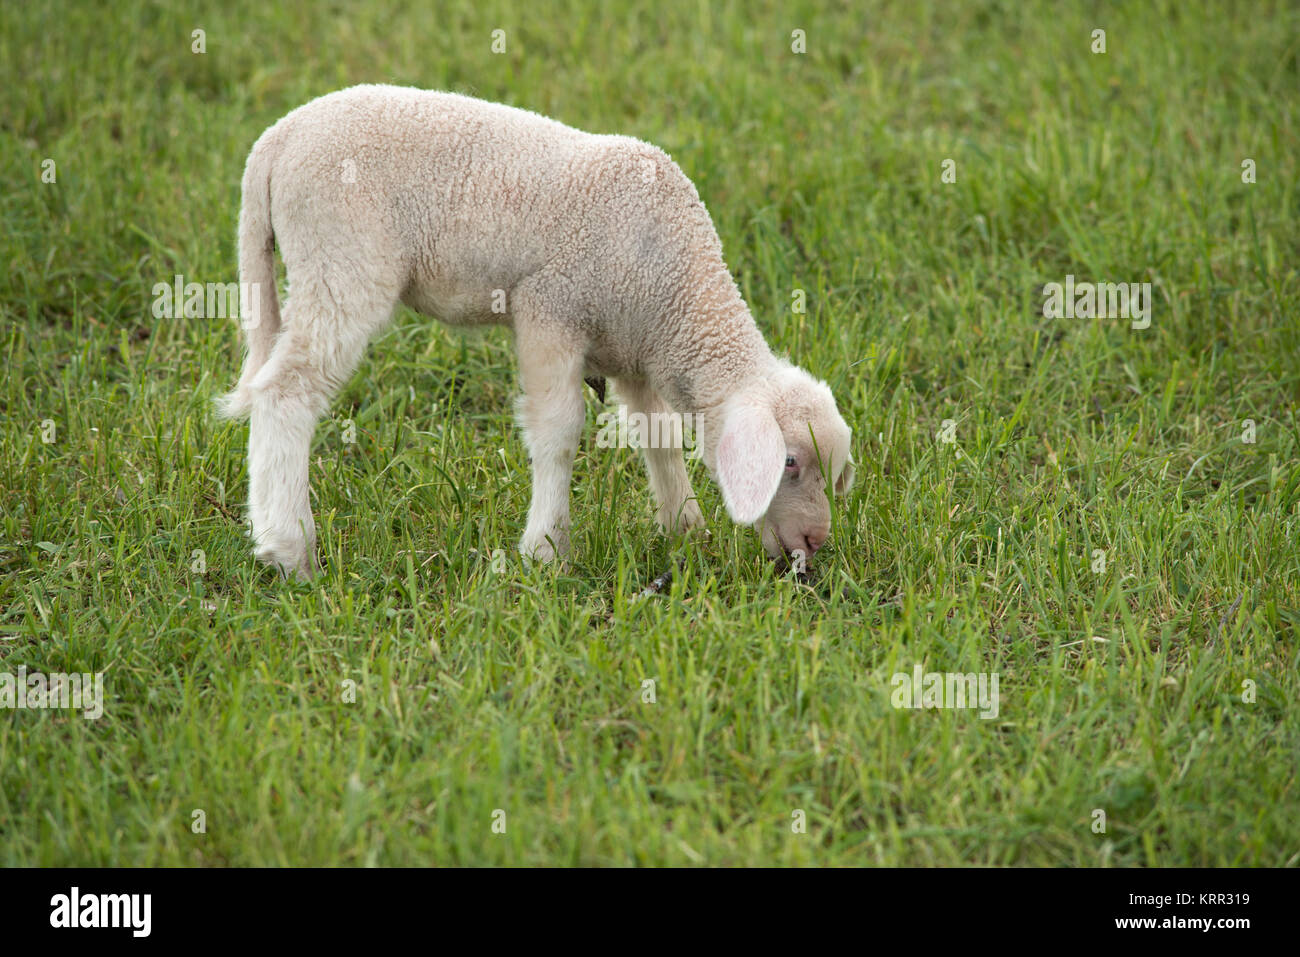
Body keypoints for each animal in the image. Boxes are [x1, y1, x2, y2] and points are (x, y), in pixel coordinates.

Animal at [217, 84, 854, 579]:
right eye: (789, 462)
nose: (815, 543)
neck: (675, 294)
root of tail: (275, 142)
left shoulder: (633, 351)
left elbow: (659, 435)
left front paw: (684, 528)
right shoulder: (550, 310)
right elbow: (558, 433)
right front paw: (546, 551)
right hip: (341, 262)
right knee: (287, 392)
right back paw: (291, 550)